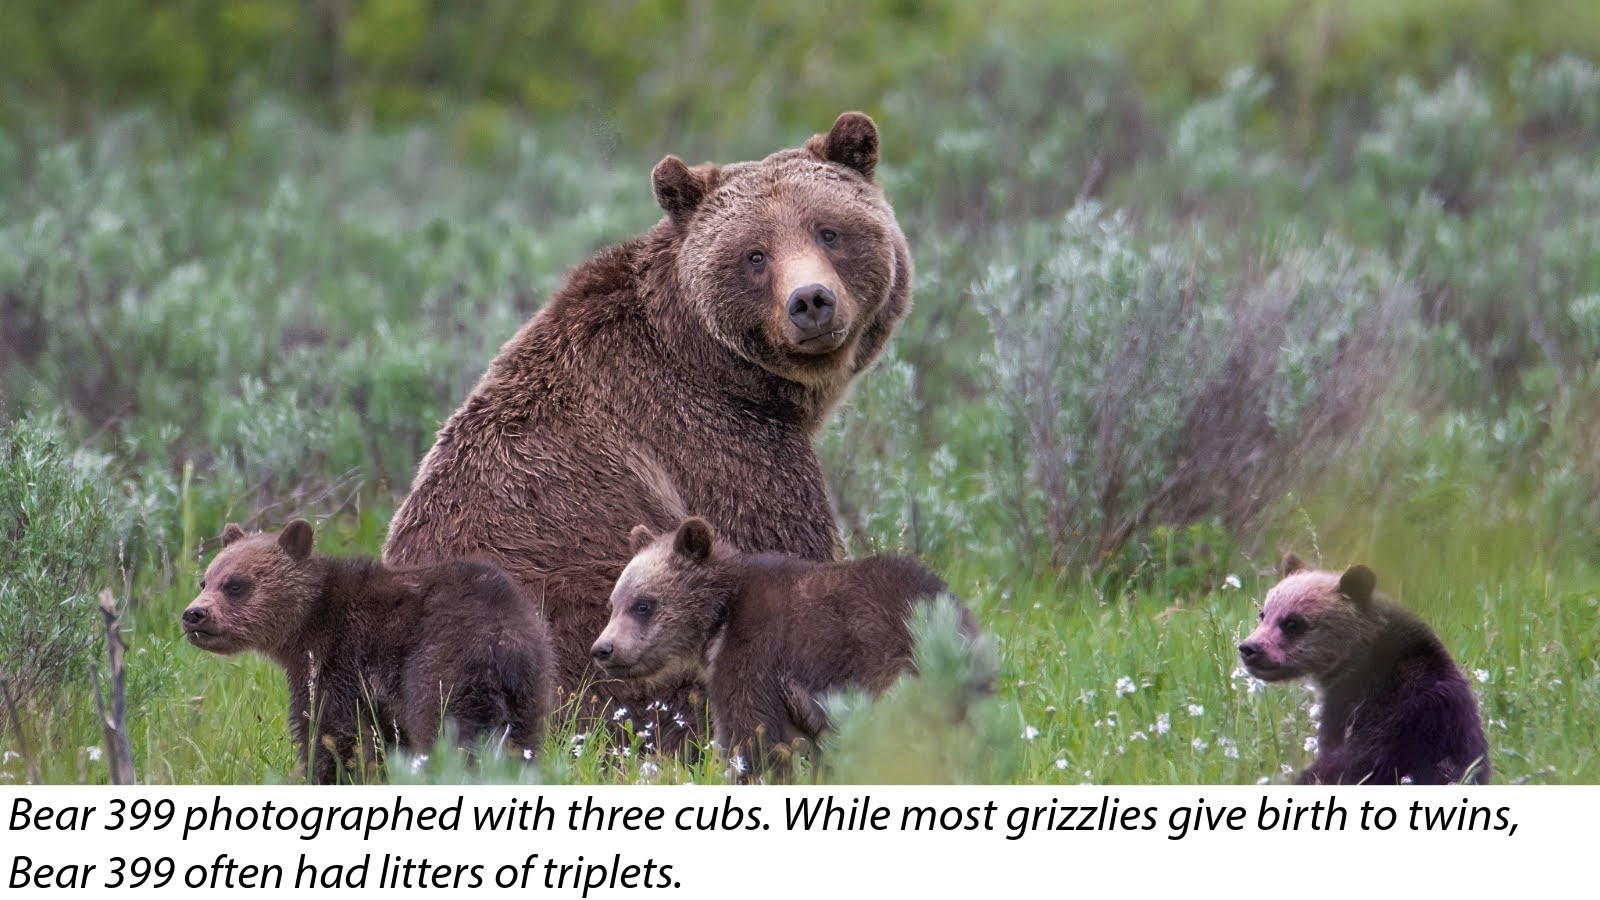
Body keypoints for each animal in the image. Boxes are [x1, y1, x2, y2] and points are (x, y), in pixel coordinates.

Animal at [183, 520, 555, 784]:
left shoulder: (341, 659)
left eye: (236, 584)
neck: (307, 624)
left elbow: (329, 731)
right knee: (521, 742)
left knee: (452, 734)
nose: (194, 614)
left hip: (443, 665)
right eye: (205, 580)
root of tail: (503, 640)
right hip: (529, 686)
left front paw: (321, 772)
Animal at [589, 517, 979, 777]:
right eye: (614, 603)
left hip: (887, 665)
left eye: (643, 604)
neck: (719, 619)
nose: (603, 649)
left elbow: (751, 735)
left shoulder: (756, 654)